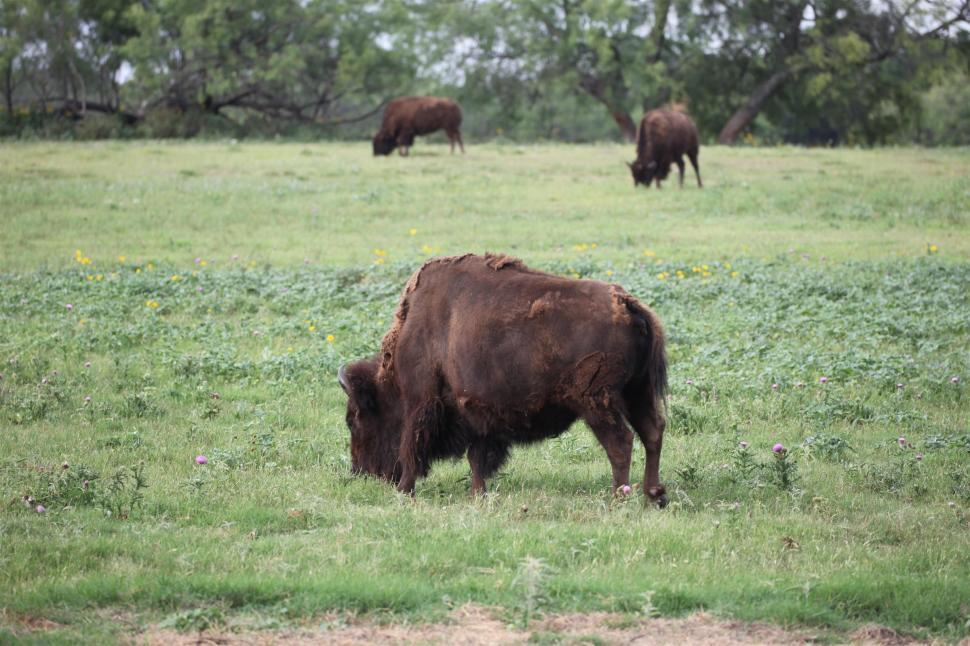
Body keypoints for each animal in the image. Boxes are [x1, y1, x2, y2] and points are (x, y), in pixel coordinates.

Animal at [338, 253, 669, 505]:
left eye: (354, 419)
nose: (361, 472)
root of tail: (628, 304)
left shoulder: (420, 403)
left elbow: (412, 449)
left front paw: (404, 491)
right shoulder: (480, 414)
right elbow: (477, 457)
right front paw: (478, 495)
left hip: (598, 402)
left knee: (621, 443)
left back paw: (619, 498)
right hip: (636, 393)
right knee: (652, 432)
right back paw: (654, 495)